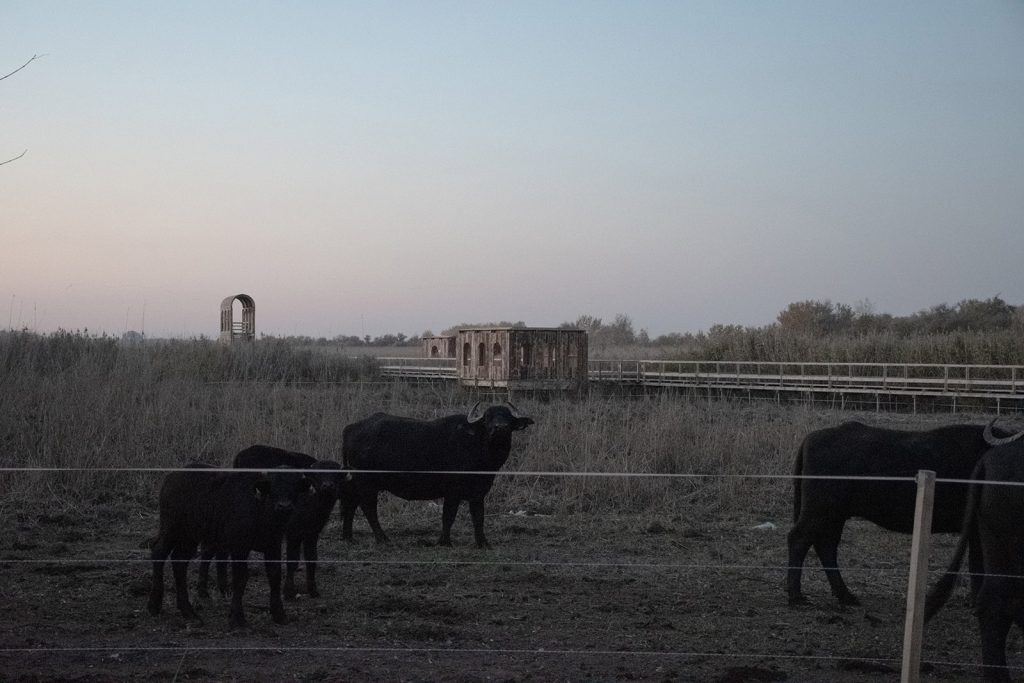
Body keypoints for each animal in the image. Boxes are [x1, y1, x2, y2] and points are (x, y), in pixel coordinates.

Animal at [147, 462, 315, 627]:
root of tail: (171, 477)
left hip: (190, 536)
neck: (262, 512)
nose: (284, 506)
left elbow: (275, 575)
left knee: (179, 562)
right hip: (171, 528)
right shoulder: (239, 547)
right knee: (158, 551)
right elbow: (240, 578)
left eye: (294, 486)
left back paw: (188, 612)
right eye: (273, 486)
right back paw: (154, 605)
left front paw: (279, 614)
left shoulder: (273, 545)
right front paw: (237, 618)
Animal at [341, 402, 534, 547]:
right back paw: (382, 538)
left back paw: (348, 537)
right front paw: (444, 541)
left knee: (351, 505)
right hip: (367, 483)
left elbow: (478, 517)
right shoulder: (452, 492)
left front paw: (482, 543)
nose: (500, 428)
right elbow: (448, 516)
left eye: (508, 418)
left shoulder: (478, 493)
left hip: (356, 483)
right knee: (368, 508)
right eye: (487, 418)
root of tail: (351, 427)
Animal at [788, 420, 1012, 606]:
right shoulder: (977, 530)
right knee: (799, 539)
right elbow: (978, 565)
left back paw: (845, 595)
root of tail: (812, 438)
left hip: (835, 515)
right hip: (820, 510)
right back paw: (795, 596)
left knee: (826, 546)